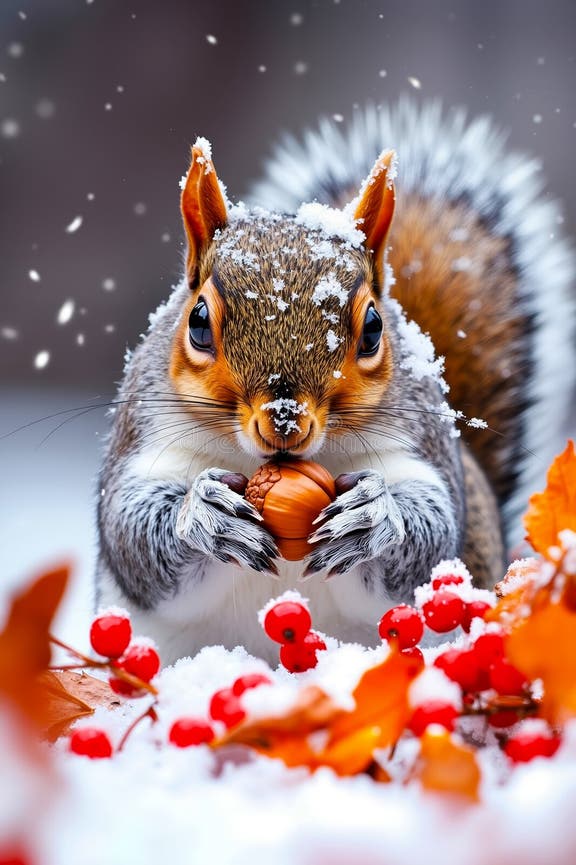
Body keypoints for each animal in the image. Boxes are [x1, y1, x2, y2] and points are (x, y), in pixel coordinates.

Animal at [96, 101, 575, 665]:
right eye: (197, 323)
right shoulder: (141, 448)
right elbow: (135, 537)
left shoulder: (425, 454)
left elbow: (430, 536)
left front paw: (375, 517)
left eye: (372, 329)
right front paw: (203, 514)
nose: (284, 422)